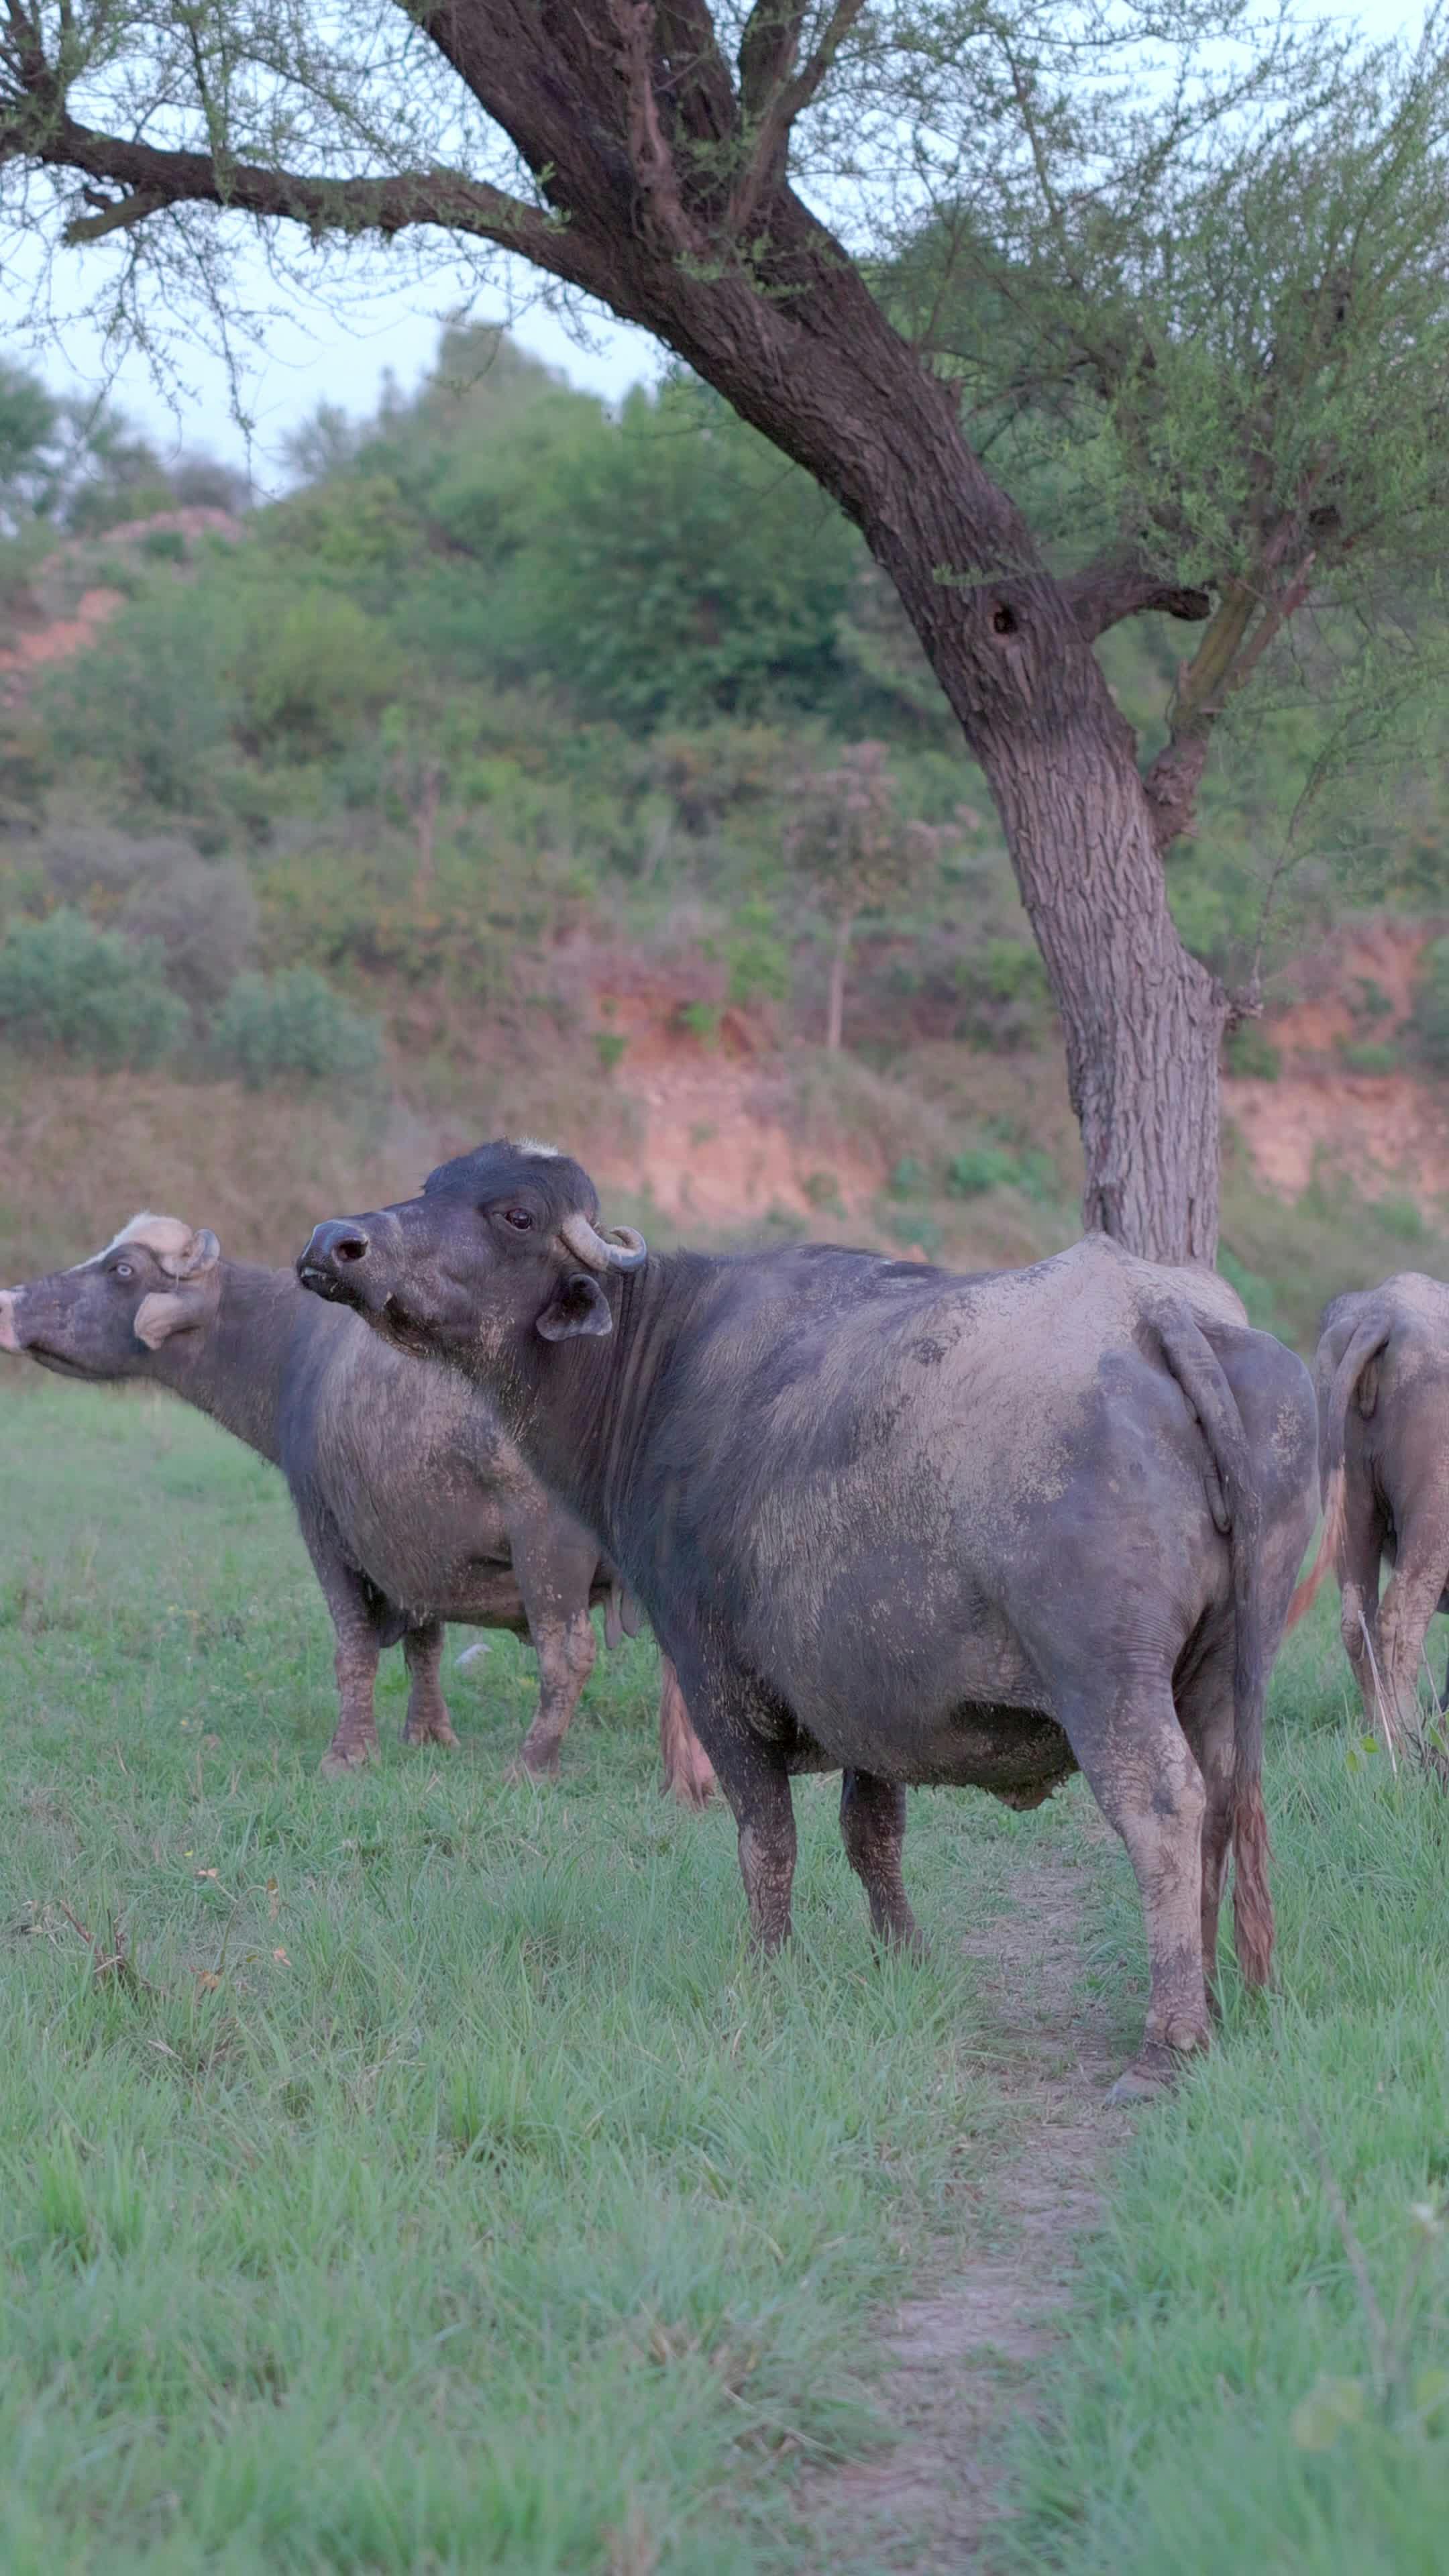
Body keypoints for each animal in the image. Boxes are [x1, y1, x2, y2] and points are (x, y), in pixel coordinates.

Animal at [0, 1212, 715, 1802]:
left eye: (121, 1270)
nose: (10, 1303)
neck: (293, 1353)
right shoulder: (417, 1552)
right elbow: (425, 1643)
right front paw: (428, 1735)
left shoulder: (326, 1531)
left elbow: (354, 1649)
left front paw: (348, 1755)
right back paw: (694, 1779)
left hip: (548, 1549)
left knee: (567, 1653)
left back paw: (532, 1765)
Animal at [296, 1141, 1318, 2098]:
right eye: (432, 1186)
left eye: (513, 1214)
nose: (334, 1244)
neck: (660, 1367)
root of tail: (1156, 1313)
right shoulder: (864, 1696)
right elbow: (873, 1837)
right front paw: (903, 1955)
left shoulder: (717, 1681)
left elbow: (766, 1841)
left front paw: (766, 1967)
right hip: (1226, 1670)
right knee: (1225, 1801)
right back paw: (1213, 2000)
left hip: (1109, 1682)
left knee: (1166, 1809)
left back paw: (1167, 2039)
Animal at [1288, 1274, 1449, 1749]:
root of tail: (1383, 1314)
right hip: (1432, 1519)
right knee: (1399, 1619)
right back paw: (1411, 1736)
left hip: (1351, 1508)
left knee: (1356, 1618)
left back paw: (1382, 1734)